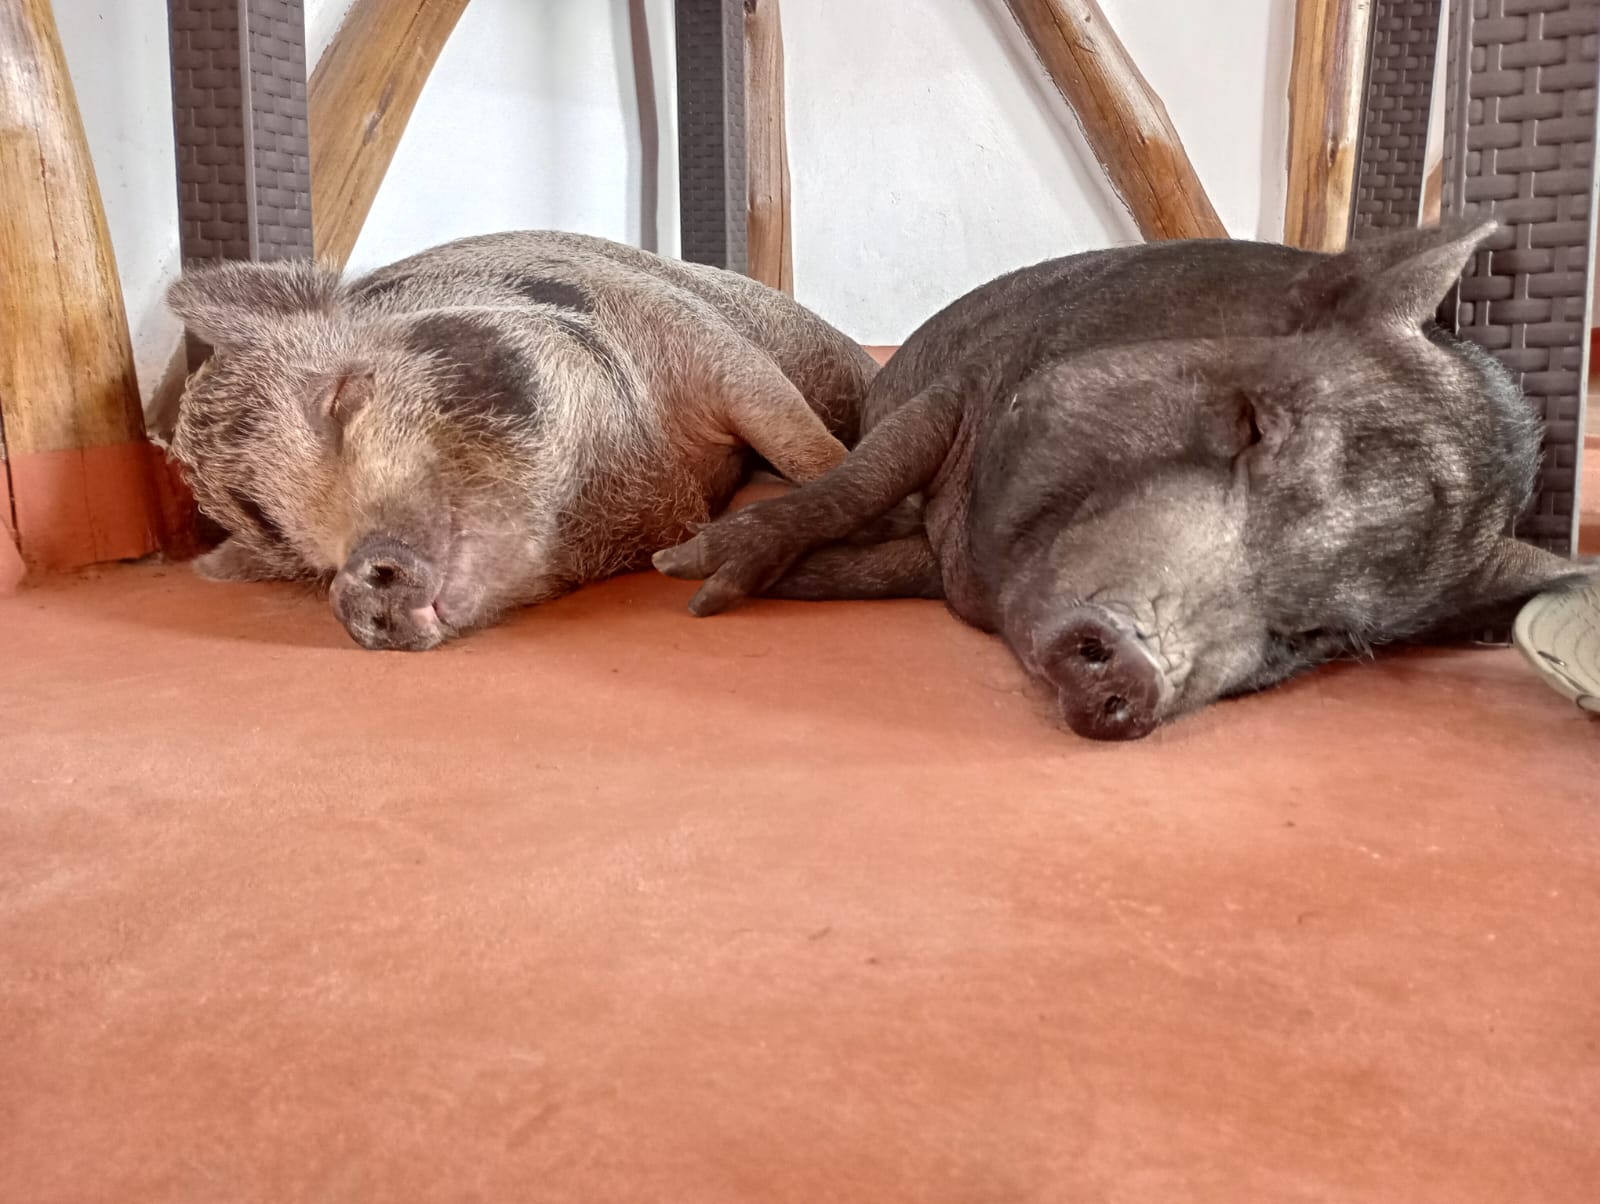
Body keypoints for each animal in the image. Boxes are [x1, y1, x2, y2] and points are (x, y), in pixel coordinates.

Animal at [653, 220, 1598, 740]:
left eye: (1323, 635)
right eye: (1252, 423)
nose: (1138, 670)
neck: (975, 573)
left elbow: (858, 569)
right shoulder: (965, 389)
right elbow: (861, 478)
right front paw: (687, 577)